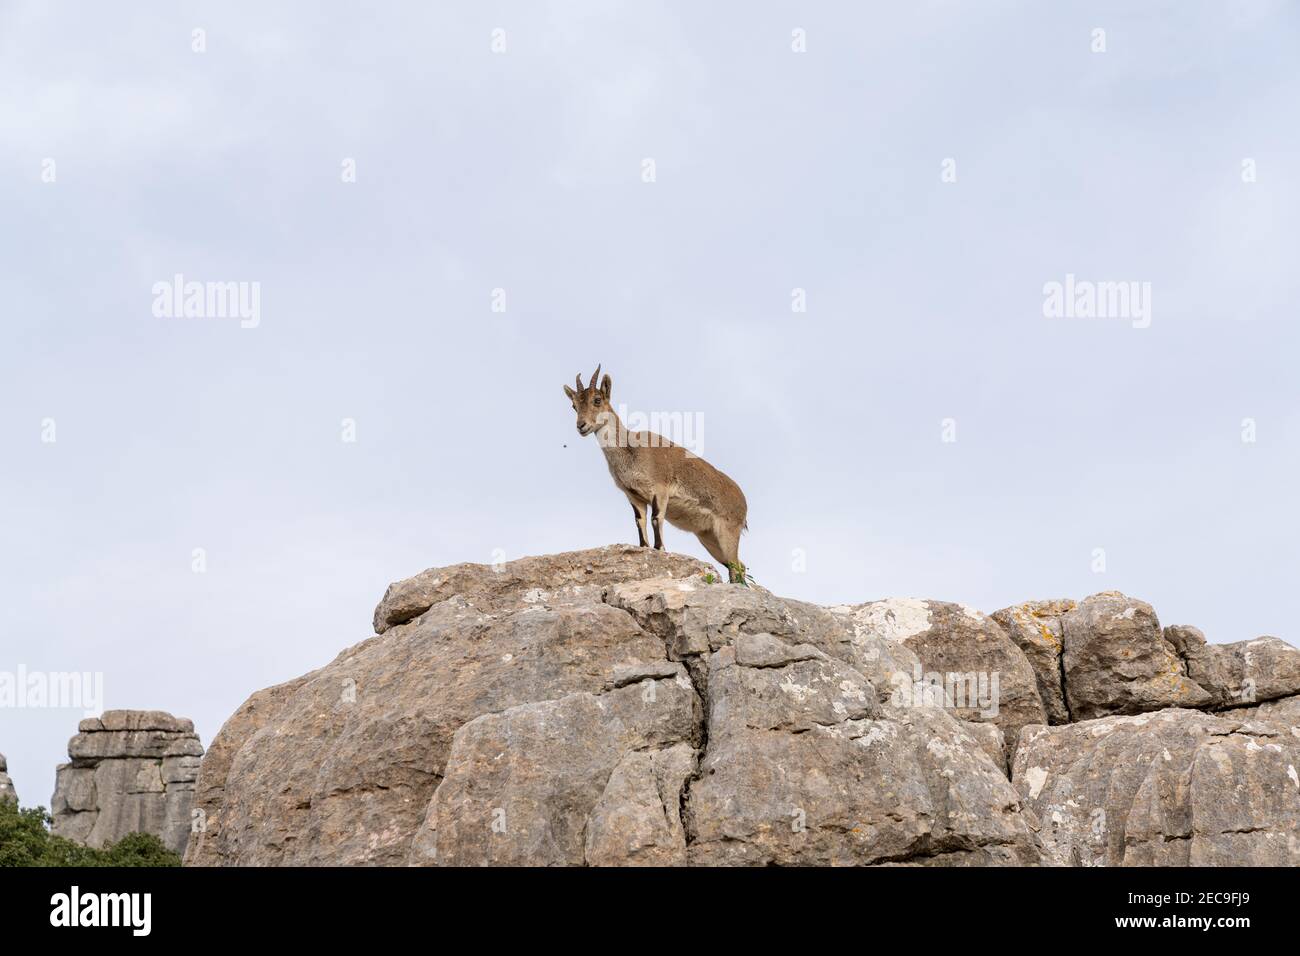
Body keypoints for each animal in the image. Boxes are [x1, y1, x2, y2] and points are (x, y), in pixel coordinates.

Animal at [563, 365, 749, 583]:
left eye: (597, 399)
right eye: (574, 405)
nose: (581, 426)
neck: (631, 450)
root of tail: (743, 502)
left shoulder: (660, 489)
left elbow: (655, 518)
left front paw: (660, 549)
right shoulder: (633, 495)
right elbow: (640, 521)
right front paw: (645, 548)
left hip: (728, 531)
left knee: (736, 566)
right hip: (708, 537)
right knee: (738, 565)